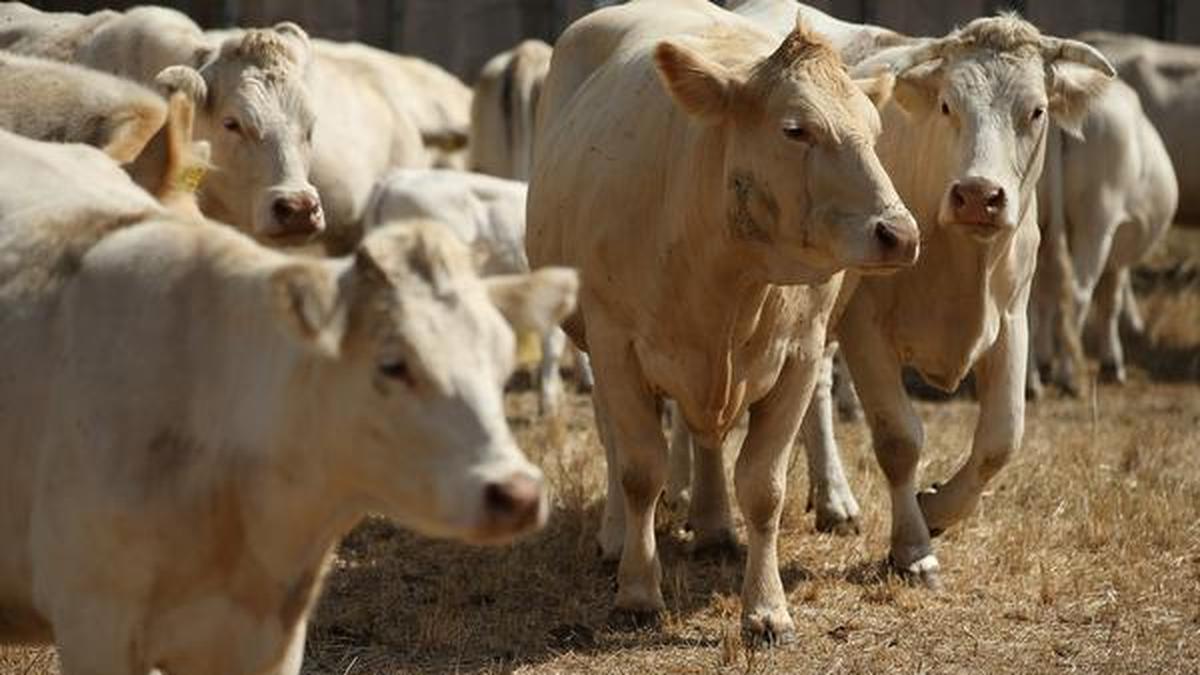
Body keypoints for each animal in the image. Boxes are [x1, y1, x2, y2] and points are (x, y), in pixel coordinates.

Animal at [527, 0, 919, 641]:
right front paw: (638, 590)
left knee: (704, 436)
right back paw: (616, 535)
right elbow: (640, 469)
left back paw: (713, 524)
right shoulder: (614, 341)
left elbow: (763, 486)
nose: (900, 233)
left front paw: (766, 609)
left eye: (877, 132)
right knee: (614, 437)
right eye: (796, 129)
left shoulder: (800, 354)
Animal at [721, 9, 1115, 584]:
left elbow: (1001, 439)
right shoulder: (864, 327)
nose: (977, 195)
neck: (960, 262)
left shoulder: (1011, 321)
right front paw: (912, 546)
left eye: (1036, 111)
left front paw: (938, 509)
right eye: (948, 105)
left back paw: (834, 500)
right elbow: (899, 440)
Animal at [1029, 78, 1178, 393]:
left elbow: (1044, 299)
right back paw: (1069, 375)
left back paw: (1032, 382)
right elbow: (1110, 300)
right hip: (1098, 222)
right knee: (1079, 293)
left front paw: (1045, 360)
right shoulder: (1118, 248)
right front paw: (1112, 363)